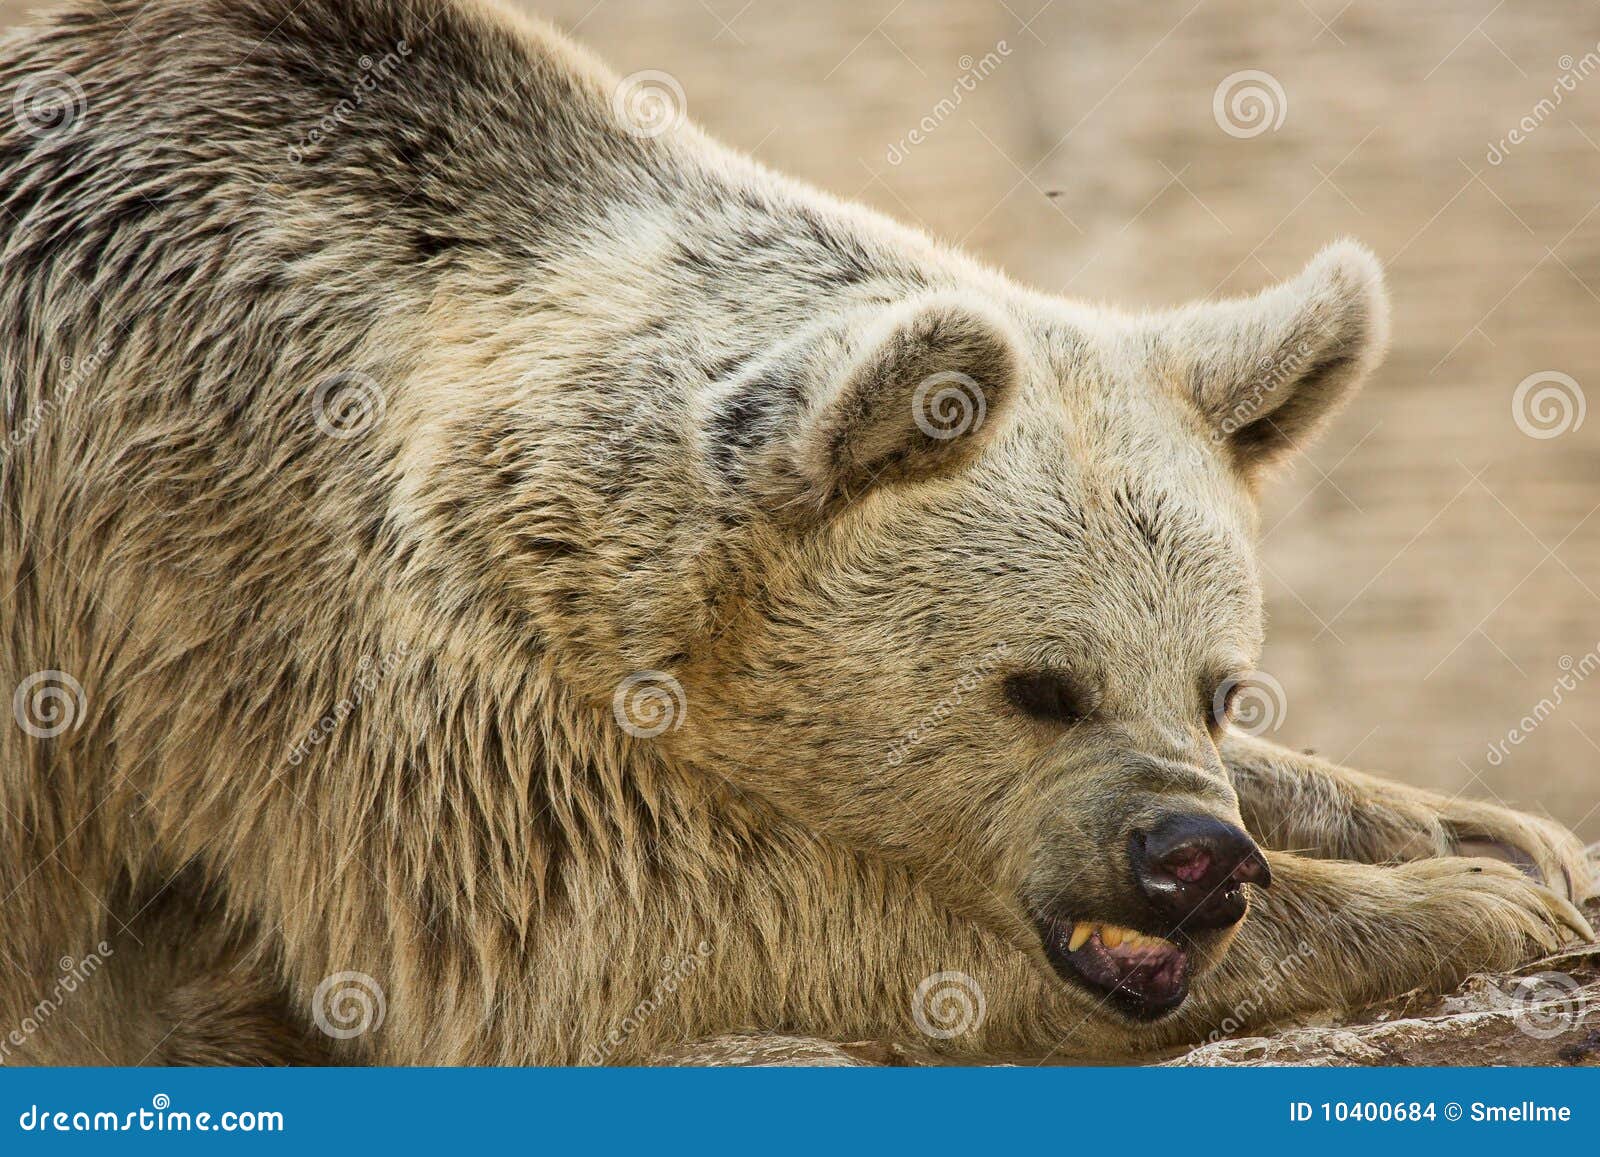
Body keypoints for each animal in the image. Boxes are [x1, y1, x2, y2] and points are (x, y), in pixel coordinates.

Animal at [0, 0, 1592, 1065]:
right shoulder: (255, 585)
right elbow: (617, 936)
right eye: (1037, 686)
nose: (1190, 861)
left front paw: (1492, 831)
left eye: (1222, 684)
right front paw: (1462, 903)